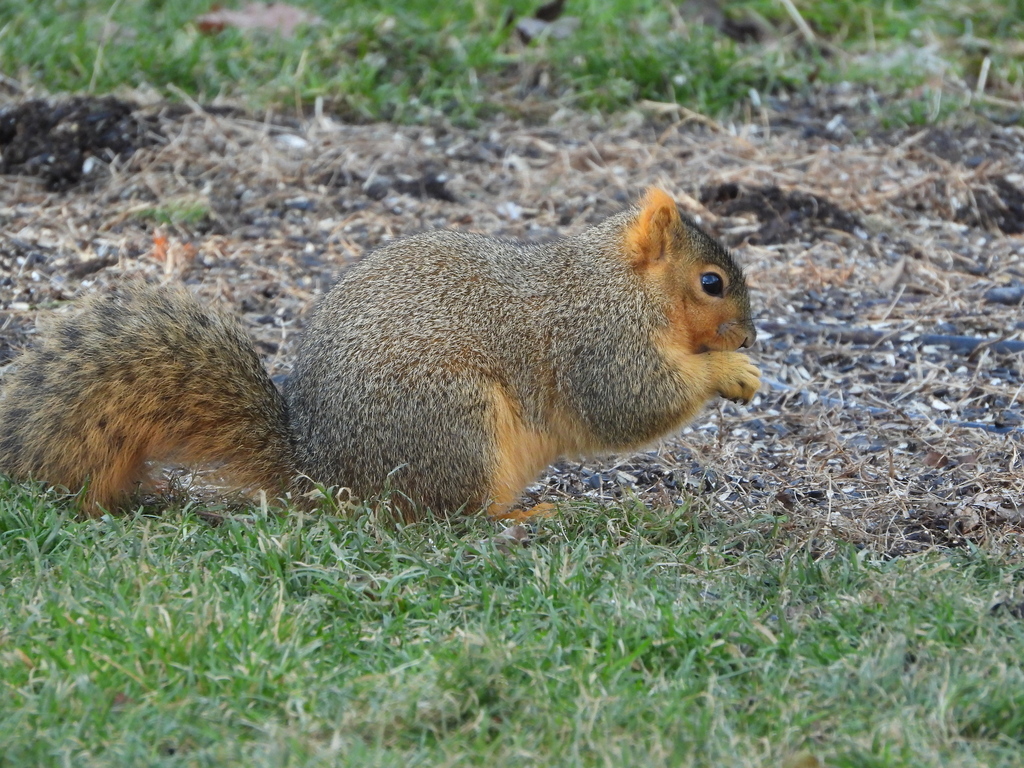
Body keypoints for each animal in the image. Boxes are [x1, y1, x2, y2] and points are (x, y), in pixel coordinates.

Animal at [0, 187, 760, 520]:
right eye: (711, 283)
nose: (750, 336)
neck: (621, 284)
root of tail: (326, 472)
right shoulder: (599, 341)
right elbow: (631, 403)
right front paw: (726, 370)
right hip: (455, 422)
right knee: (452, 517)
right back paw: (521, 518)